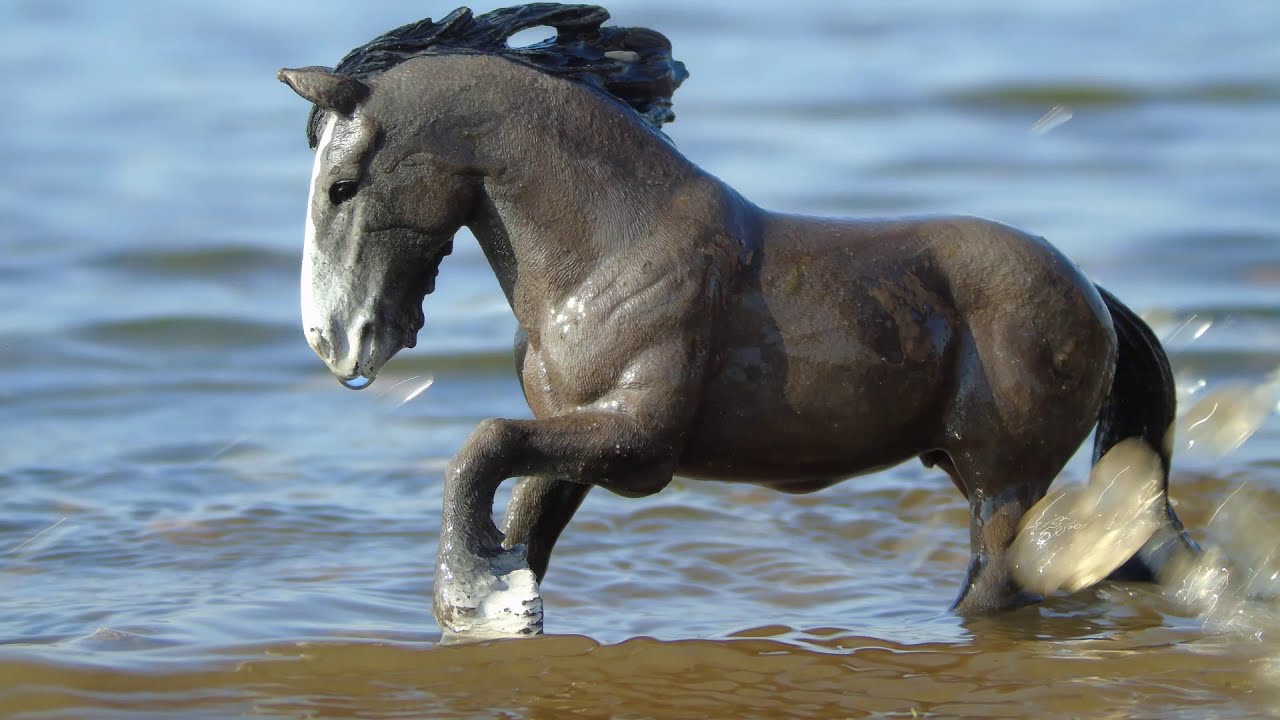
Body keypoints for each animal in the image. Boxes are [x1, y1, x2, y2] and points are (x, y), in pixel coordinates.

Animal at [277, 4, 1199, 636]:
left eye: (342, 187)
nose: (334, 341)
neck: (610, 247)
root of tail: (1092, 296)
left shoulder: (639, 442)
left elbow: (484, 444)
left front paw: (470, 594)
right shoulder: (579, 439)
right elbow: (524, 517)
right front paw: (503, 595)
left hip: (1001, 484)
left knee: (997, 588)